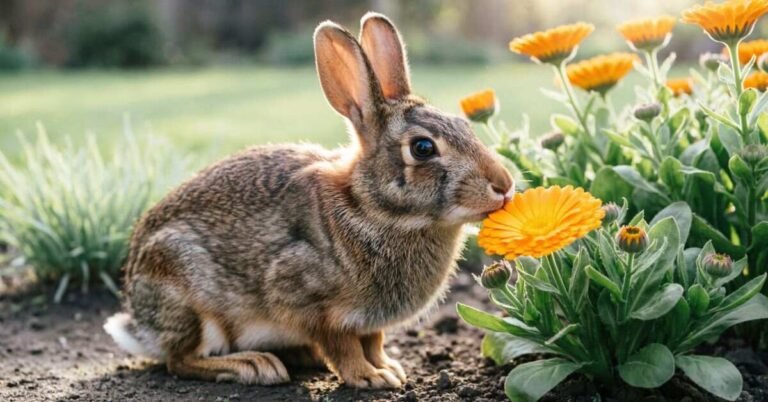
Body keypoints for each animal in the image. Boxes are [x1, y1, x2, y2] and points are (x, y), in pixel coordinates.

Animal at [103, 12, 513, 389]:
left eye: (463, 126)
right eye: (423, 148)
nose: (505, 185)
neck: (372, 208)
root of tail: (140, 324)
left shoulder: (370, 322)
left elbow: (374, 341)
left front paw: (390, 368)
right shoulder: (309, 303)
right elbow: (342, 346)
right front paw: (371, 377)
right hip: (187, 292)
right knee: (180, 360)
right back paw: (253, 365)